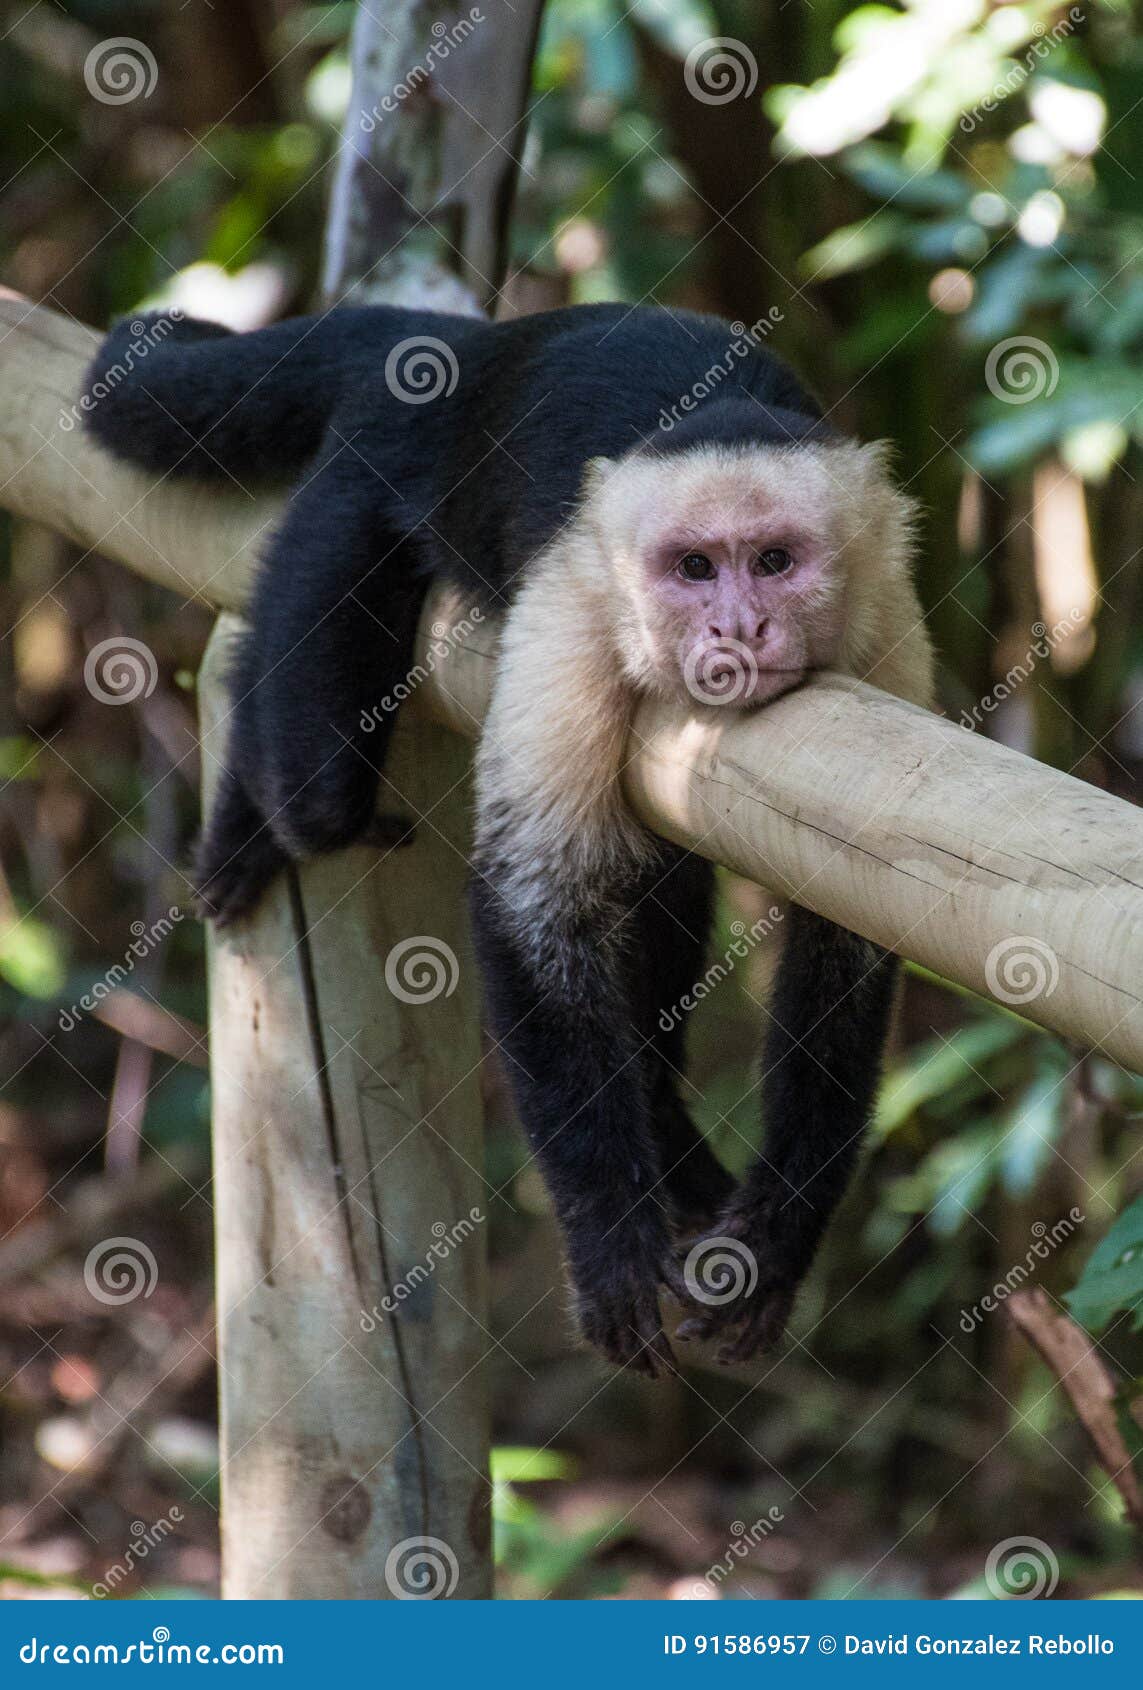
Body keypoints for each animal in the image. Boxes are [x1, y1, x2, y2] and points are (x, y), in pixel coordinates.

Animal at [83, 302, 934, 1376]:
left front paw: (777, 1237)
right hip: (359, 482)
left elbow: (845, 936)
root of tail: (472, 344)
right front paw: (610, 1245)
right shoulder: (573, 607)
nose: (736, 630)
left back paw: (666, 1129)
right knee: (316, 788)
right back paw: (254, 808)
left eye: (774, 561)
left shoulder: (887, 630)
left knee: (660, 872)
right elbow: (532, 905)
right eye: (694, 568)